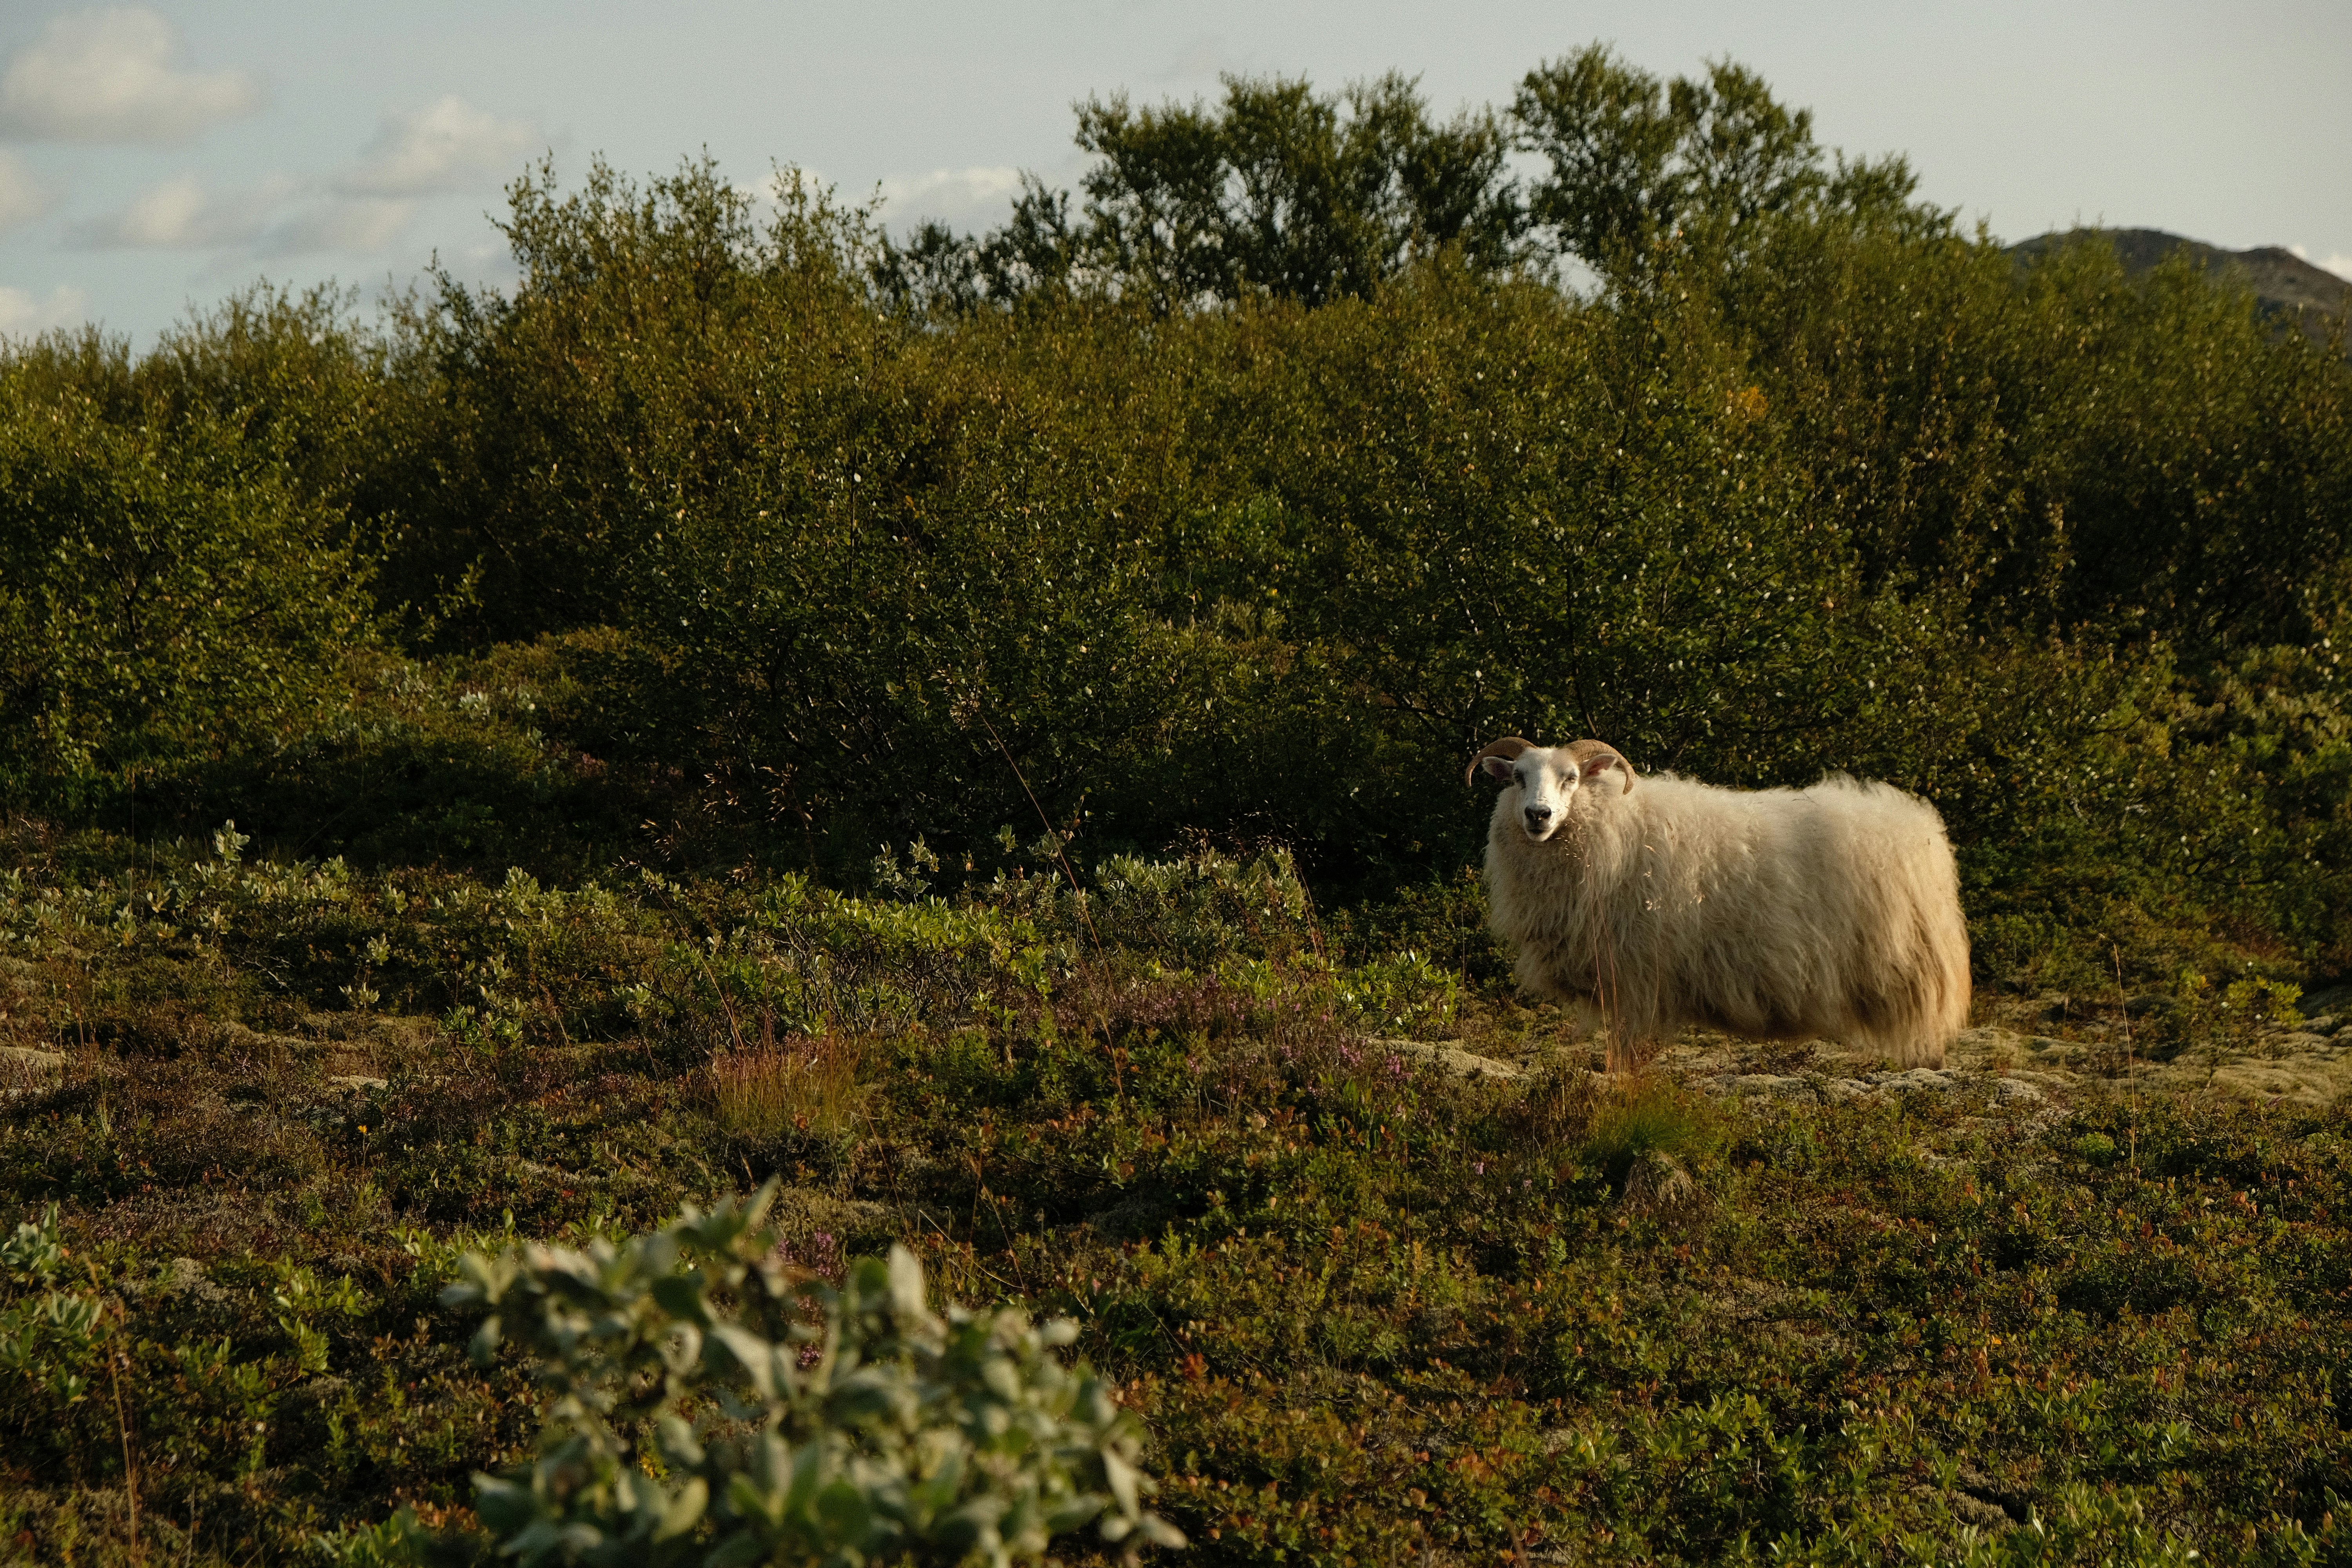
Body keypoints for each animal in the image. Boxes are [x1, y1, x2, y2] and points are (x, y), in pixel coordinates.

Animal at [1466, 737, 1969, 1071]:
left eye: (1571, 779)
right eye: (1518, 778)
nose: (1538, 815)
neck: (1613, 826)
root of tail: (1918, 822)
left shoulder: (1635, 974)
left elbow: (1624, 1053)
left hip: (1917, 968)